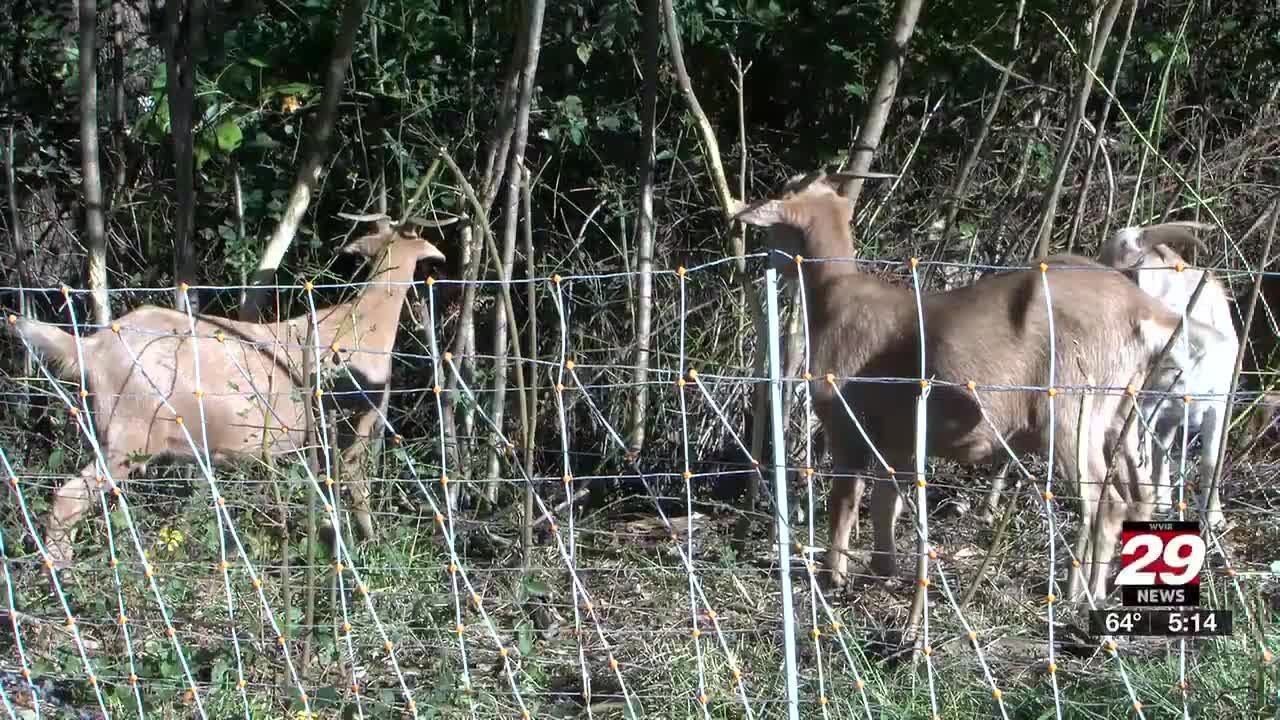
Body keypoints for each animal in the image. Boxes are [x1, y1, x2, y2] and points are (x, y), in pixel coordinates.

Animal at [6, 215, 449, 566]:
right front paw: (367, 548)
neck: (361, 325)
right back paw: (64, 576)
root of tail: (91, 348)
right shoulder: (355, 419)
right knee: (68, 498)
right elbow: (356, 489)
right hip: (129, 433)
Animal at [1098, 221, 1239, 528]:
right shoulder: (1145, 404)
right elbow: (1142, 455)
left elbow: (1211, 461)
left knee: (1162, 446)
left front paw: (1215, 518)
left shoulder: (1218, 403)